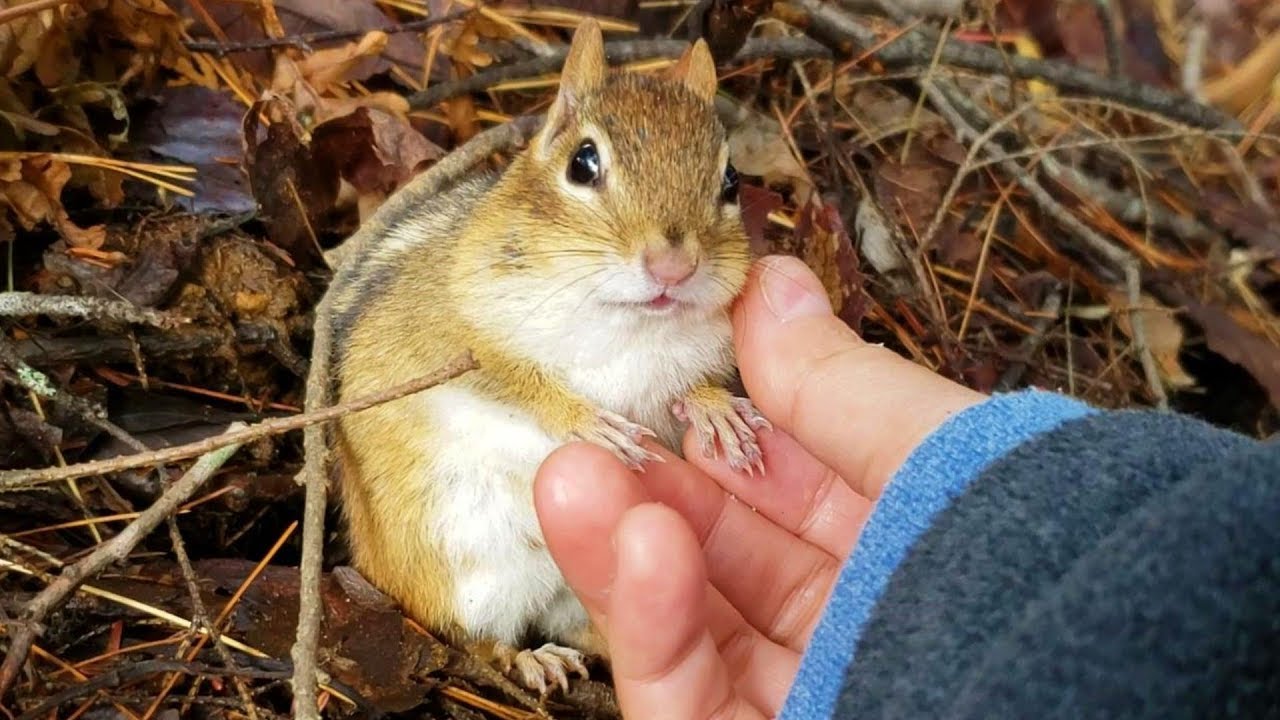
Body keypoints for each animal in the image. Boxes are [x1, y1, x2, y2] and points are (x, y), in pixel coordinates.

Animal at [323, 19, 769, 695]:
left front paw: (718, 410)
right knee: (472, 638)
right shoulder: (461, 336)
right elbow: (517, 382)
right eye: (582, 163)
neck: (629, 326)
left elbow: (691, 386)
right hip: (453, 571)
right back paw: (528, 659)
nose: (674, 266)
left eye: (732, 180)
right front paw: (587, 421)